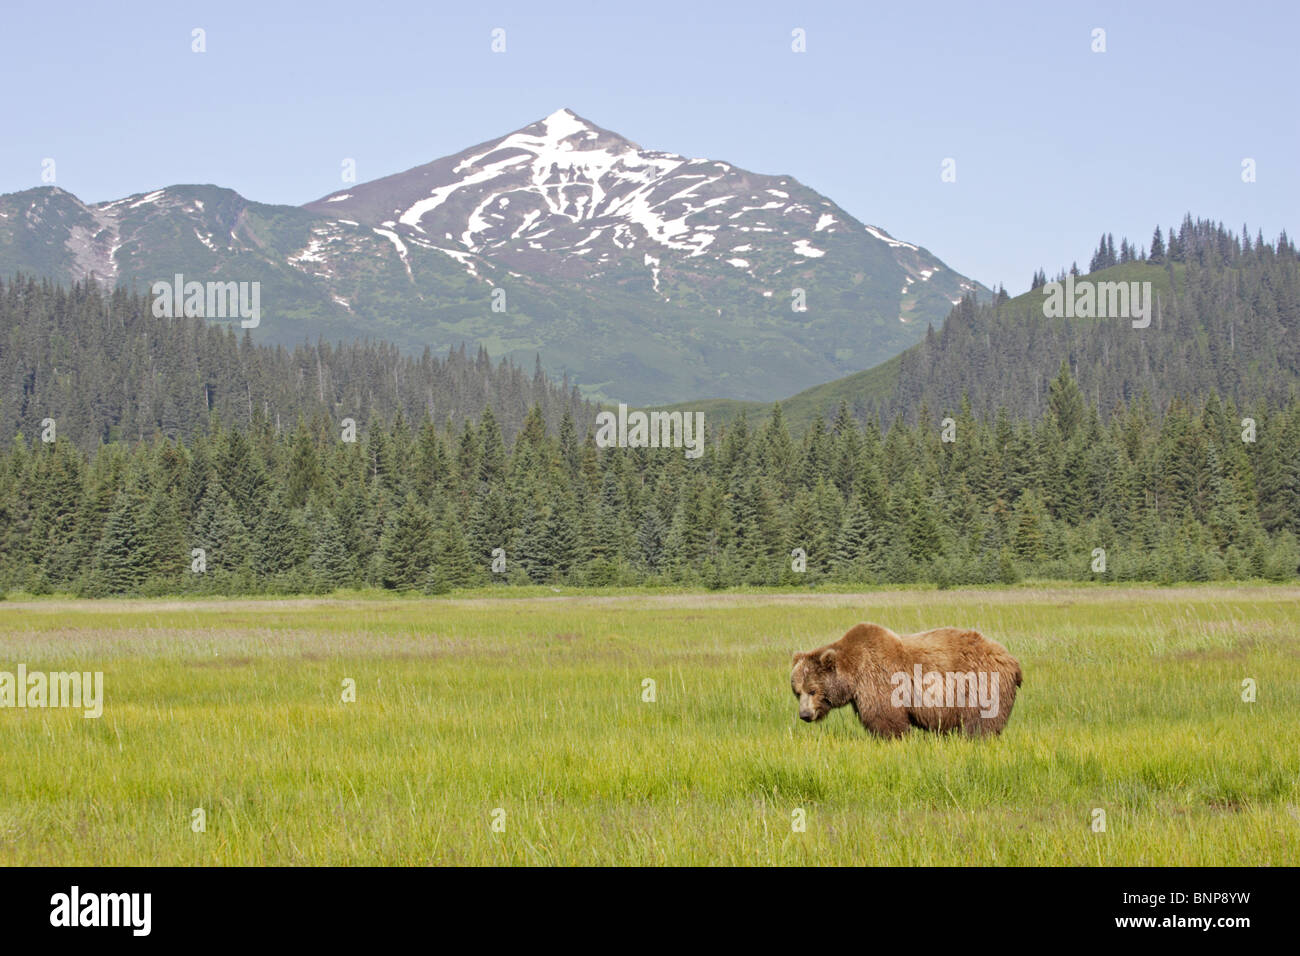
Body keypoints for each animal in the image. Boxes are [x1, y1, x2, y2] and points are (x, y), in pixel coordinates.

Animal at [790, 622, 1022, 737]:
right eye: (797, 692)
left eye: (812, 690)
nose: (804, 715)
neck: (853, 674)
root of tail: (1011, 659)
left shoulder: (878, 680)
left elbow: (886, 720)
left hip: (980, 685)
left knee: (981, 723)